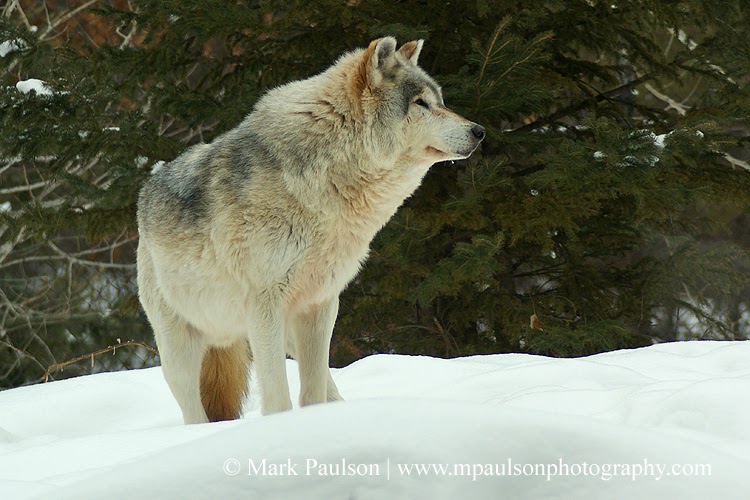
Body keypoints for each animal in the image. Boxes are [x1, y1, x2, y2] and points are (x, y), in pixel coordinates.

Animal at [137, 37, 485, 424]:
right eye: (421, 103)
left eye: (440, 101)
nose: (480, 131)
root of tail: (146, 190)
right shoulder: (266, 306)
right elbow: (278, 399)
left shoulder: (322, 304)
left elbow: (314, 391)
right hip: (182, 347)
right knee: (191, 409)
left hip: (285, 332)